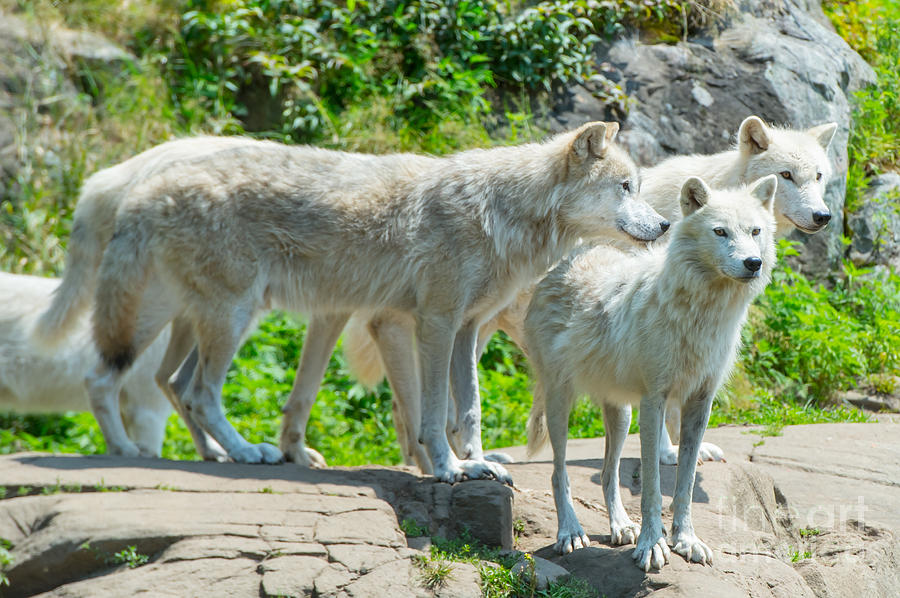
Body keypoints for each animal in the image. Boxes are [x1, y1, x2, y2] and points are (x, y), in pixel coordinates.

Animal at [57, 122, 668, 483]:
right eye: (625, 187)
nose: (664, 225)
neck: (502, 212)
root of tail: (141, 185)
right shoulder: (433, 323)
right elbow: (430, 412)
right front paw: (449, 469)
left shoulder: (466, 329)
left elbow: (467, 408)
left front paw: (477, 460)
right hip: (221, 317)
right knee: (168, 387)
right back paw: (207, 452)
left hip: (214, 317)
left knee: (175, 385)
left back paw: (219, 453)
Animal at [336, 115, 837, 470]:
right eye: (787, 175)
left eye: (819, 176)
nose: (823, 216)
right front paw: (667, 455)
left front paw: (685, 451)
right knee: (420, 406)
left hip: (473, 327)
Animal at [525, 175, 778, 570]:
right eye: (720, 232)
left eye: (755, 231)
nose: (753, 262)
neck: (701, 312)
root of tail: (564, 263)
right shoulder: (654, 400)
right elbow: (654, 488)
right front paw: (651, 545)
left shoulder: (699, 403)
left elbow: (685, 485)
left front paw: (686, 540)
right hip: (560, 404)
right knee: (559, 472)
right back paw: (570, 532)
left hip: (621, 413)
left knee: (608, 474)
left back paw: (619, 526)